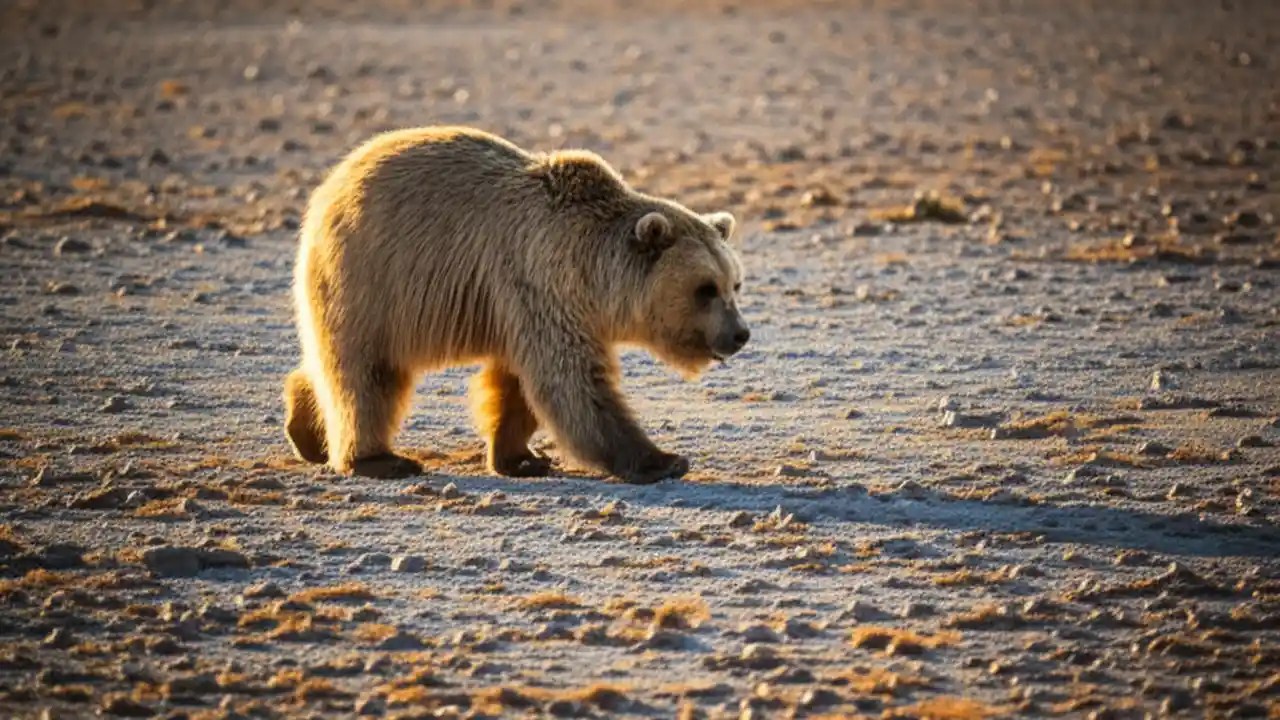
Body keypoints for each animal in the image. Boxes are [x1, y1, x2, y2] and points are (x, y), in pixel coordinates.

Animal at [283, 126, 749, 484]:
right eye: (705, 289)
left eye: (735, 284)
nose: (740, 334)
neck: (593, 276)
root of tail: (331, 184)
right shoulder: (540, 281)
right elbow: (572, 383)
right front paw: (662, 460)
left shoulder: (524, 304)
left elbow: (518, 384)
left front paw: (520, 457)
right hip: (369, 276)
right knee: (366, 372)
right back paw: (379, 459)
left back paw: (304, 428)